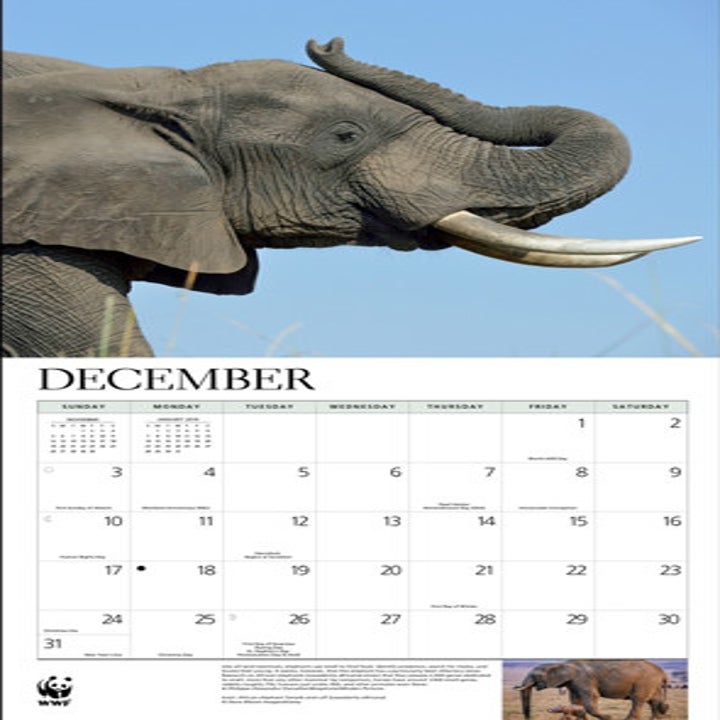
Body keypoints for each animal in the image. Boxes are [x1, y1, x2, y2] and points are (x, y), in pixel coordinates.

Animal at [515, 659, 669, 720]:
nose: (529, 718)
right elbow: (575, 701)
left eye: (535, 676)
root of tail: (662, 672)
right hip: (652, 684)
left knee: (638, 700)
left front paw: (609, 717)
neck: (561, 664)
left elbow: (591, 698)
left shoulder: (584, 679)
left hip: (645, 682)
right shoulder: (573, 683)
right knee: (654, 701)